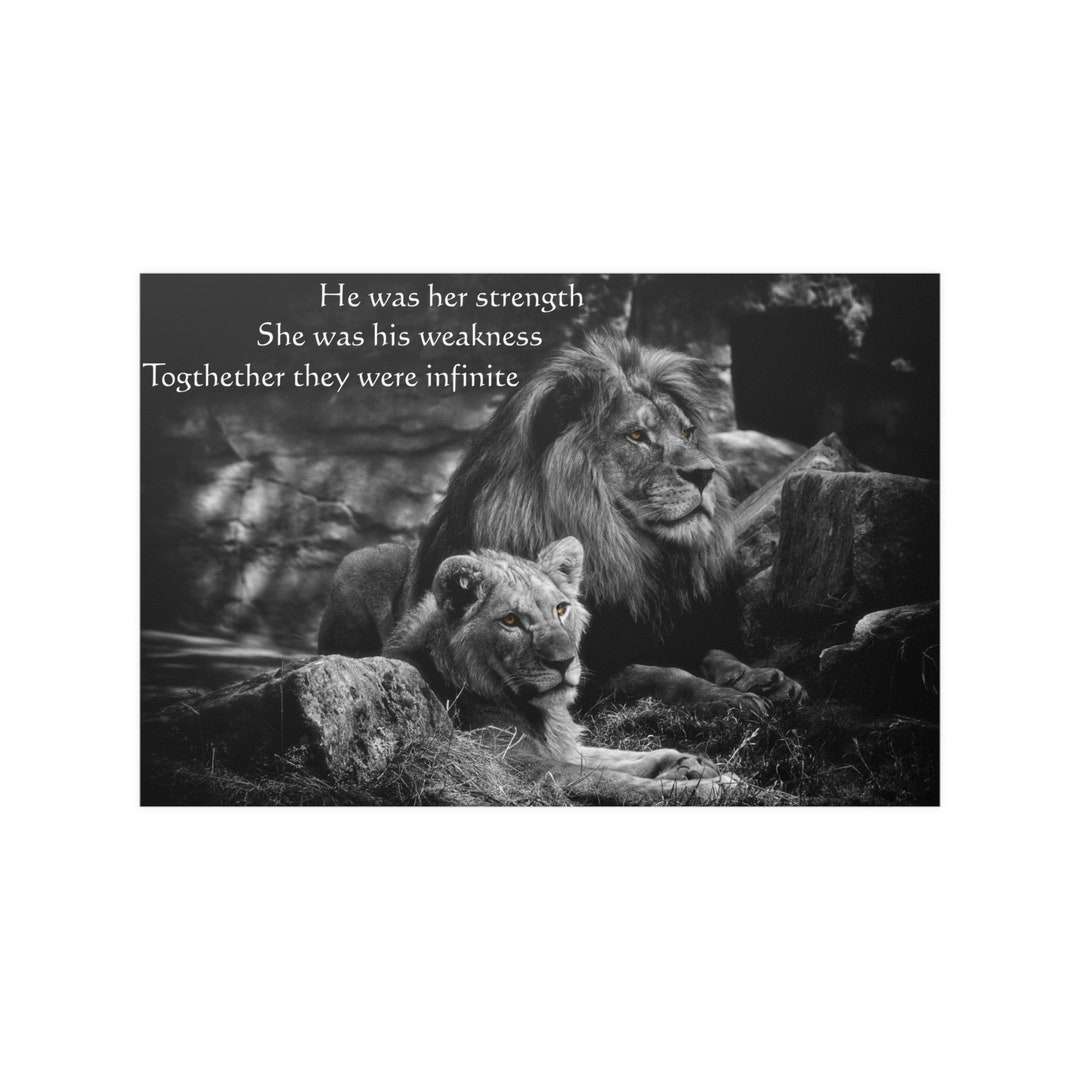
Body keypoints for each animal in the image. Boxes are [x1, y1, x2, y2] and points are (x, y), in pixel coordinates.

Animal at [319, 332, 803, 715]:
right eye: (636, 436)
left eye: (687, 433)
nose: (706, 474)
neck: (629, 555)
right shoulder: (581, 675)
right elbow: (663, 674)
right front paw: (729, 698)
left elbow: (714, 653)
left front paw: (761, 677)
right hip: (361, 561)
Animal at [384, 537, 740, 804]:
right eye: (510, 620)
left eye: (560, 609)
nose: (565, 661)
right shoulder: (508, 767)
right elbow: (607, 779)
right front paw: (711, 787)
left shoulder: (561, 748)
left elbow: (615, 756)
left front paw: (686, 762)